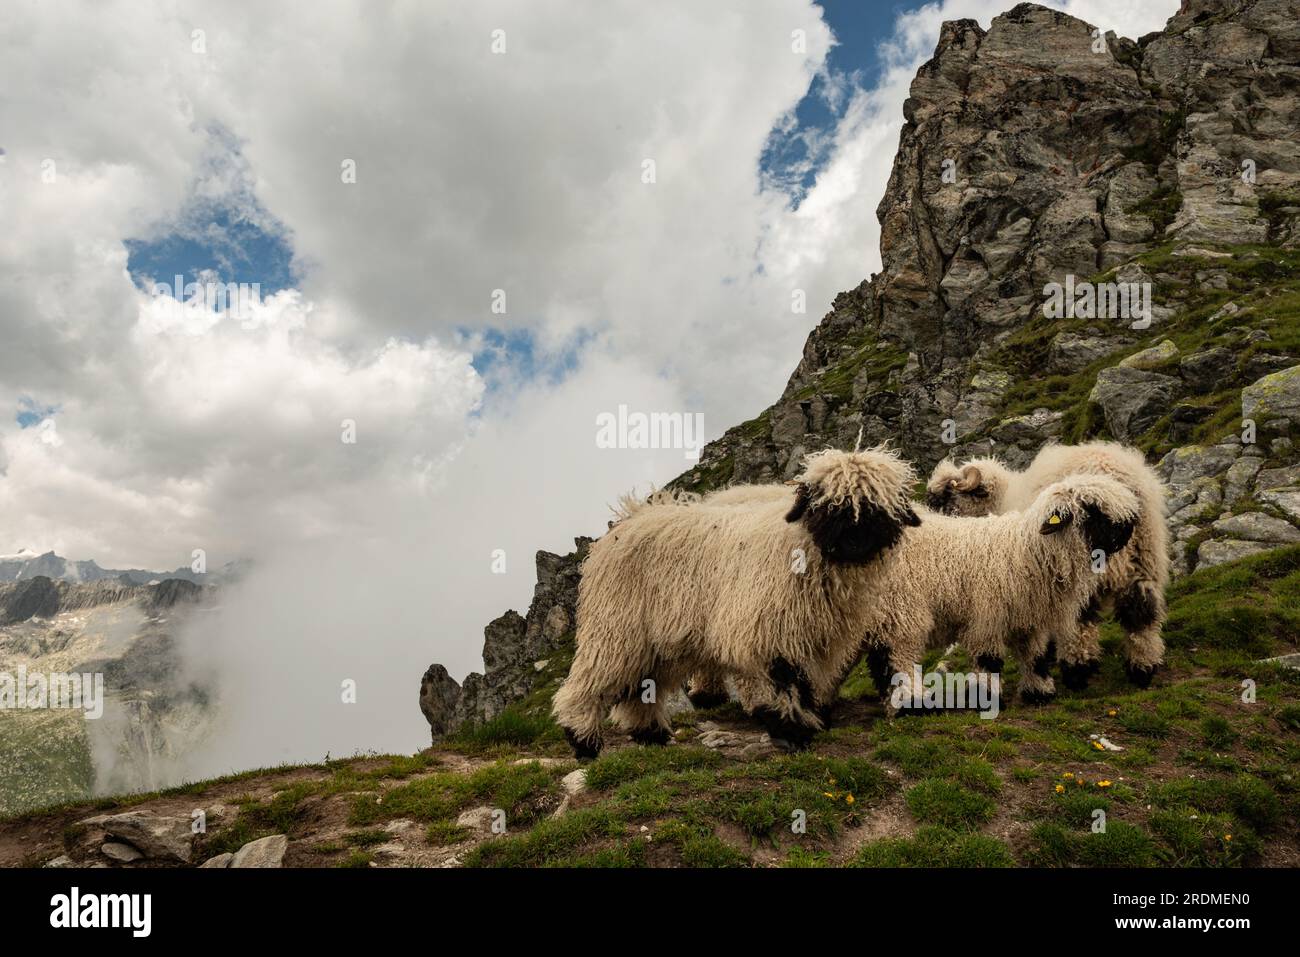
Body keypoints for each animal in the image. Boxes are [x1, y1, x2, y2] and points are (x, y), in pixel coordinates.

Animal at [552, 446, 921, 758]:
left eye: (879, 507)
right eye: (825, 504)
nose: (856, 539)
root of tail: (628, 520)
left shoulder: (816, 639)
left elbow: (807, 683)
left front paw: (807, 723)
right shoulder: (765, 632)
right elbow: (782, 683)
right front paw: (790, 731)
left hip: (657, 643)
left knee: (640, 689)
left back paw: (652, 736)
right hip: (617, 630)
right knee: (591, 680)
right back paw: (582, 739)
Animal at [867, 473, 1141, 711]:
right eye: (1092, 508)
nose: (1130, 526)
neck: (1027, 552)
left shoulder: (1031, 619)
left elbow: (1035, 656)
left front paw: (1039, 693)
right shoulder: (986, 618)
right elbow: (989, 661)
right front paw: (987, 698)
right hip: (901, 609)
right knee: (896, 655)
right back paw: (911, 704)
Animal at [926, 441, 1169, 688]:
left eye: (945, 499)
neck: (1001, 501)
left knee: (1080, 621)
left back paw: (1077, 670)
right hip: (1144, 558)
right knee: (1141, 611)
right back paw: (1143, 669)